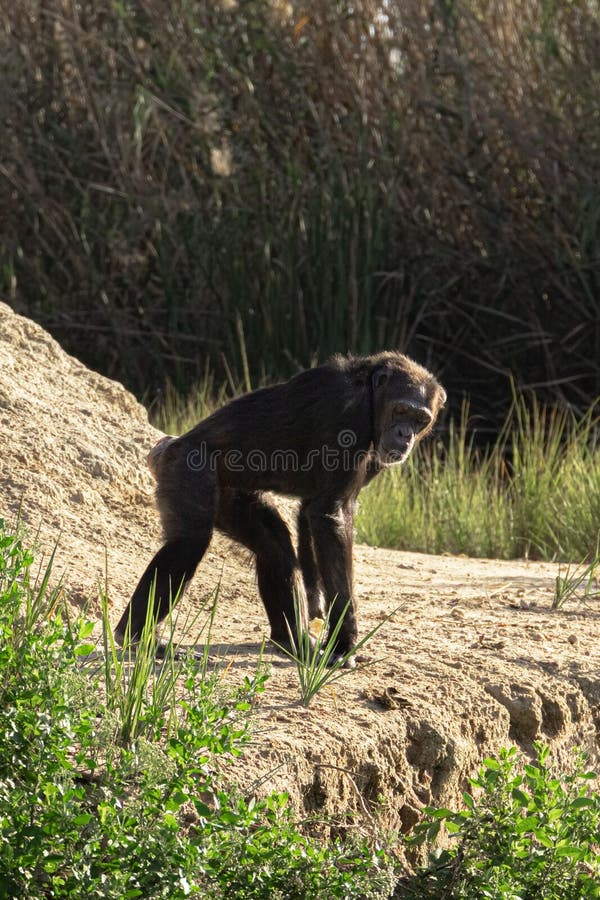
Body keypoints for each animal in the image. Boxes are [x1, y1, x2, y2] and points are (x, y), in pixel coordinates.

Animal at [114, 351, 446, 664]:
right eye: (401, 410)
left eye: (420, 419)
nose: (404, 434)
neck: (371, 400)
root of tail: (164, 447)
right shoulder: (346, 414)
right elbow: (329, 515)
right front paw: (344, 642)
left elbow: (315, 510)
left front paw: (317, 605)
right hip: (185, 469)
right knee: (189, 542)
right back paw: (141, 639)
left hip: (229, 496)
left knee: (275, 546)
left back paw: (291, 641)